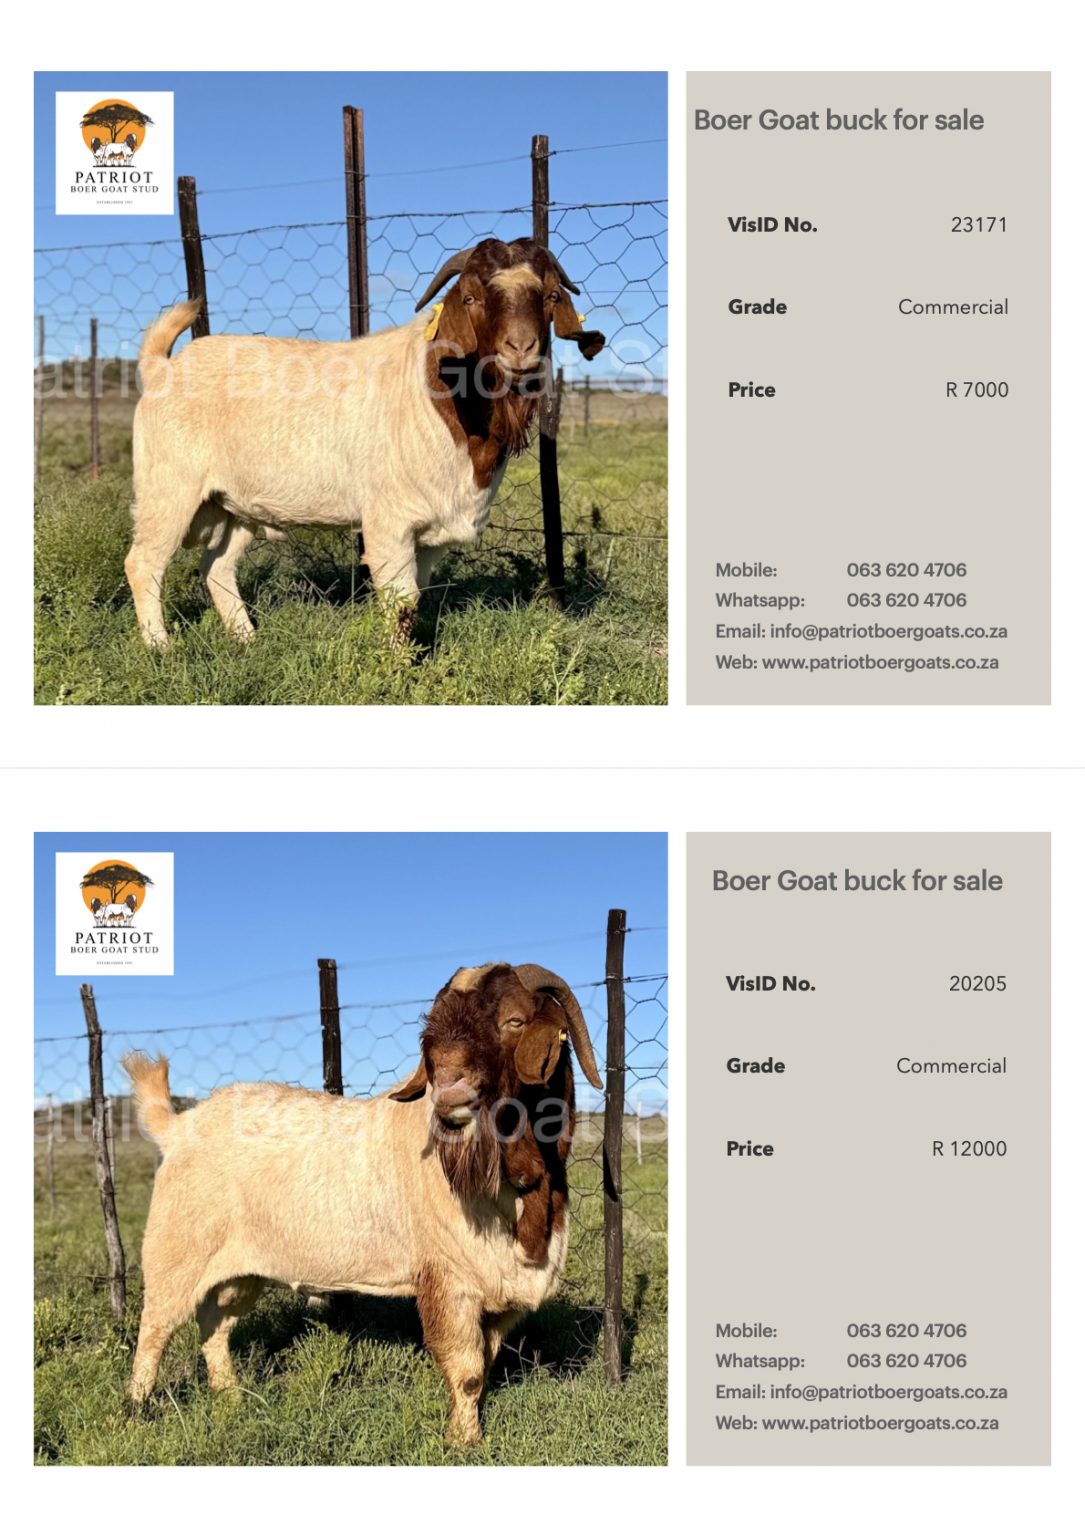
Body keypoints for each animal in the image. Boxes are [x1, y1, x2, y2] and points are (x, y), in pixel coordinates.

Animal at [121, 963, 602, 1445]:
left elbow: (486, 1360)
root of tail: (177, 1127)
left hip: (240, 1272)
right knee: (154, 1330)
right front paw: (464, 1441)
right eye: (430, 1034)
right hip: (175, 1256)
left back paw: (231, 1398)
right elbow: (467, 1371)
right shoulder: (450, 1278)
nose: (449, 1096)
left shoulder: (505, 1290)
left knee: (214, 1326)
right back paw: (137, 1409)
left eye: (514, 1021)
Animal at [124, 238, 606, 648]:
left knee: (217, 567)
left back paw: (246, 639)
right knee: (143, 562)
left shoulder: (432, 535)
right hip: (169, 489)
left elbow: (415, 599)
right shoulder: (390, 522)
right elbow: (400, 601)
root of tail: (162, 367)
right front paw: (398, 666)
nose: (520, 349)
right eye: (470, 298)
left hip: (234, 506)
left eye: (550, 297)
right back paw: (160, 647)